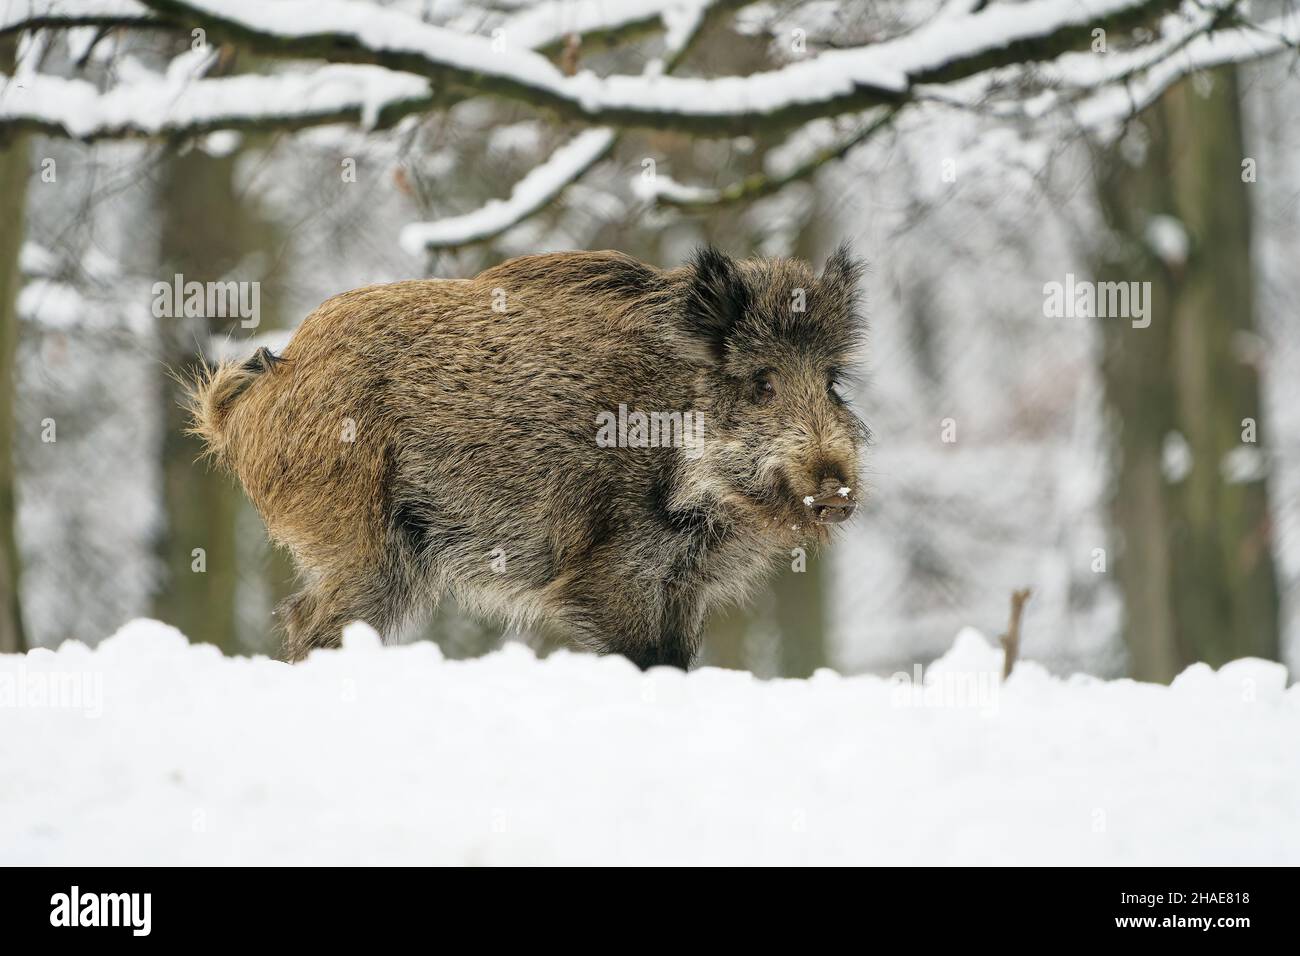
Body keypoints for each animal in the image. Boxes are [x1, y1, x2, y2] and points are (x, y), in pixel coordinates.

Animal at [187, 246, 868, 667]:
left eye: (833, 381)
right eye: (762, 382)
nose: (837, 491)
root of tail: (246, 404)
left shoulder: (684, 584)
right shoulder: (611, 569)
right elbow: (642, 658)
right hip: (361, 539)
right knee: (311, 621)